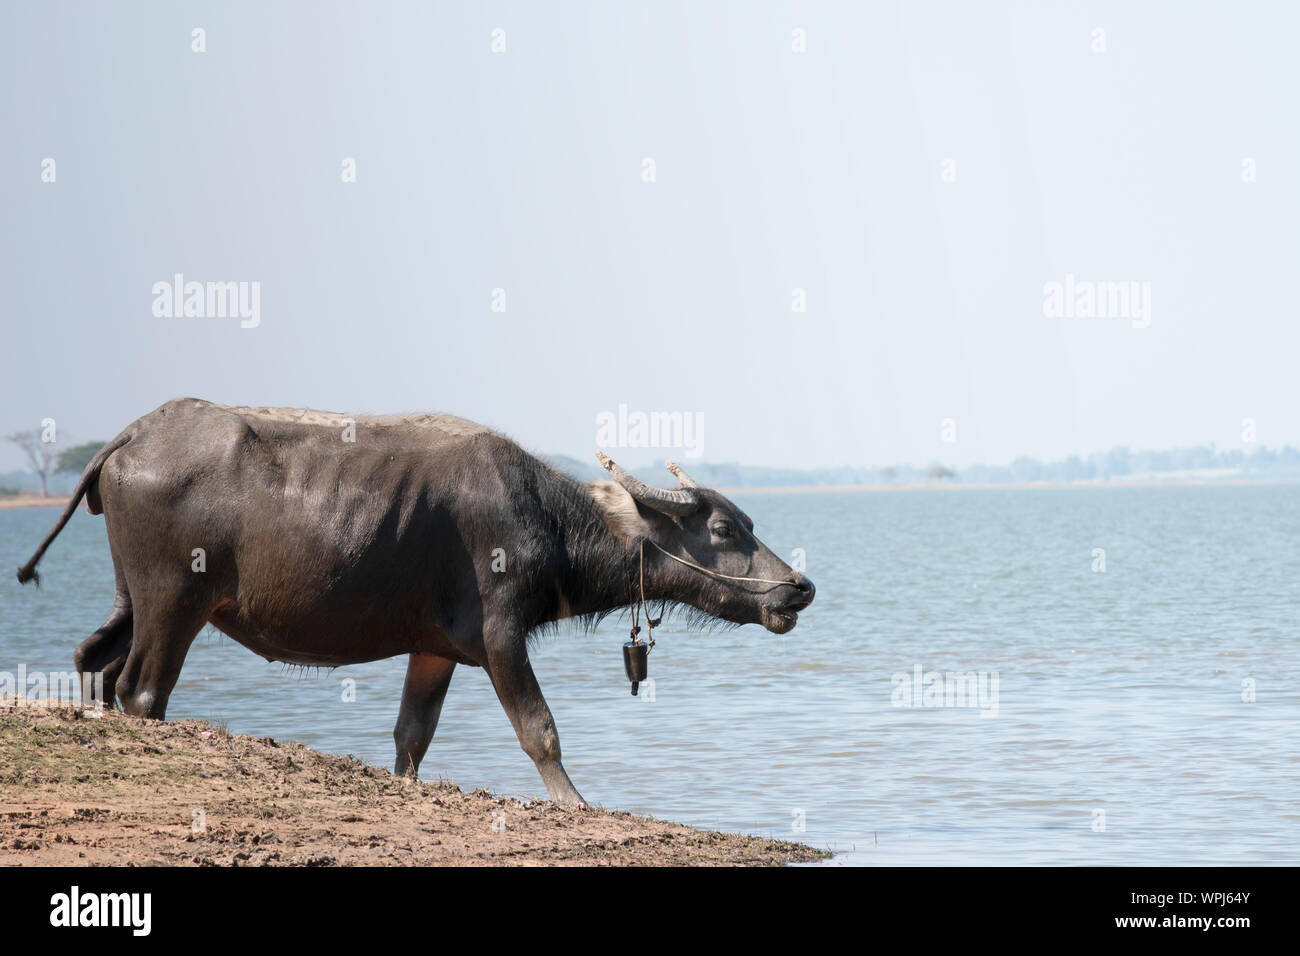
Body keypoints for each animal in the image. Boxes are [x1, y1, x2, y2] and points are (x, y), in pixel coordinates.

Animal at [17, 399, 815, 804]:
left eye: (747, 521)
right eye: (722, 528)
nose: (797, 586)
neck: (544, 517)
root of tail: (132, 435)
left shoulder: (434, 651)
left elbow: (411, 737)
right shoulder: (499, 640)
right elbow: (540, 730)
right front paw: (575, 803)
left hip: (134, 598)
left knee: (93, 660)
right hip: (175, 603)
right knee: (141, 690)